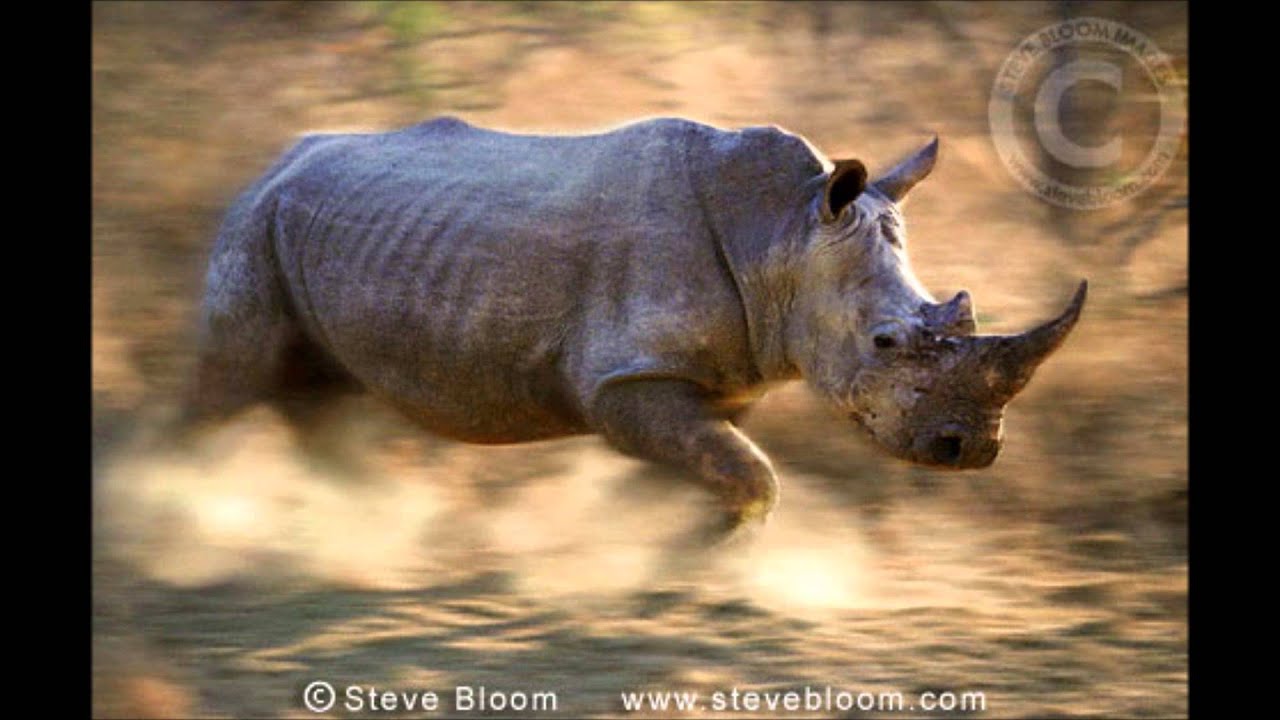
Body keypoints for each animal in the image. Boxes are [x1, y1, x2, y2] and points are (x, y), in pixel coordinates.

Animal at [184, 116, 1085, 536]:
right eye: (885, 344)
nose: (969, 451)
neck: (783, 232)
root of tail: (279, 159)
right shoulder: (630, 377)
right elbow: (749, 474)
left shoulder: (714, 378)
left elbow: (720, 467)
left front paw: (657, 552)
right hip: (254, 224)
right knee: (229, 385)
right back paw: (174, 510)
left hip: (314, 228)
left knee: (322, 394)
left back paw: (370, 526)